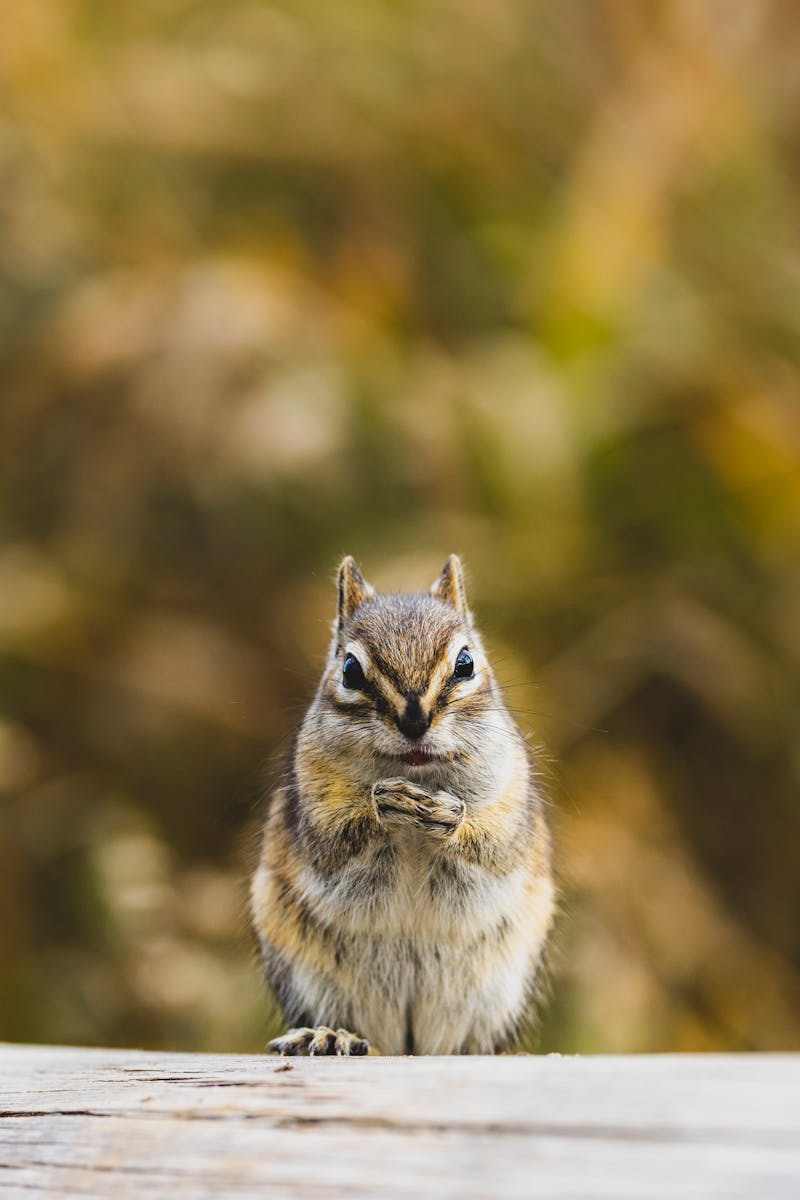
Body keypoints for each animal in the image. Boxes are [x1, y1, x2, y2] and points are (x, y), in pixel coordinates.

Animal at [250, 555, 555, 1055]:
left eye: (466, 662)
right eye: (350, 670)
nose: (415, 720)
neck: (417, 774)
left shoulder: (510, 794)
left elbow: (495, 843)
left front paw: (448, 816)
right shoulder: (312, 803)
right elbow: (330, 844)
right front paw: (384, 803)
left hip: (489, 995)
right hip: (312, 978)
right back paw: (333, 1036)